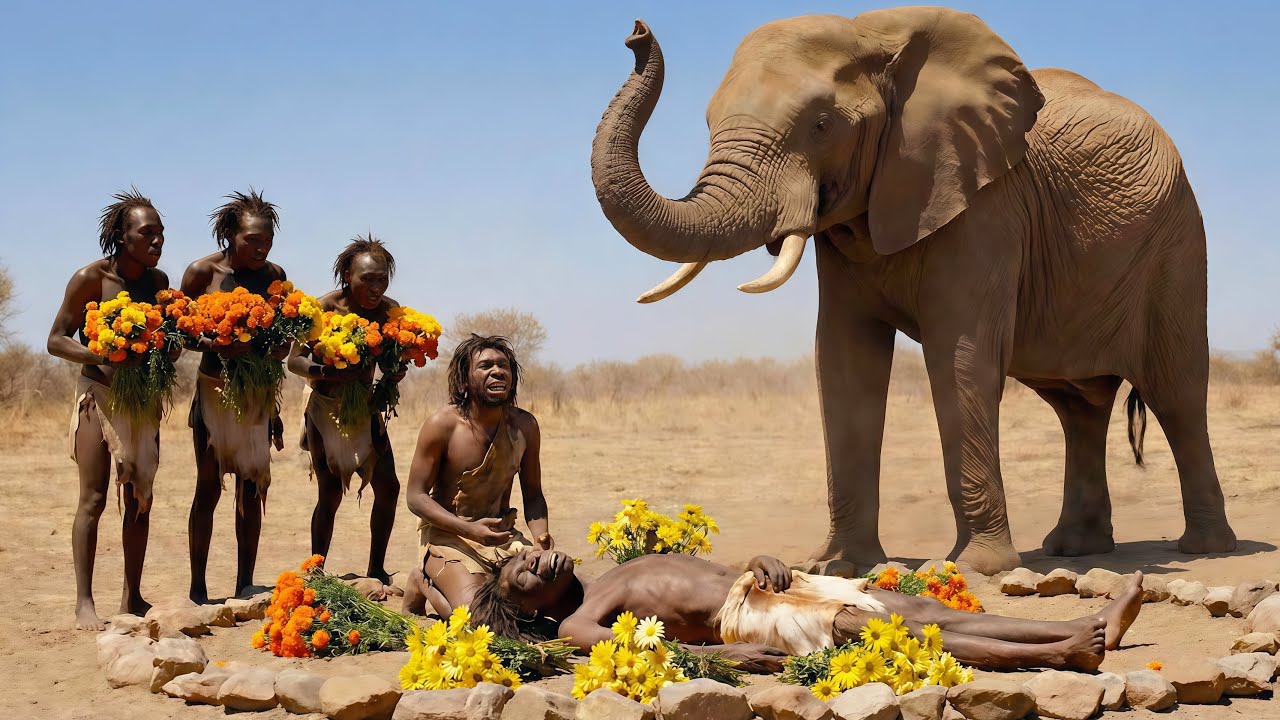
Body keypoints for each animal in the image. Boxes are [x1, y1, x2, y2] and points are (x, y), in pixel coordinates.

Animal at [589, 7, 1238, 574]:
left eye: (821, 125)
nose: (636, 32)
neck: (875, 36)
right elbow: (845, 361)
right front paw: (838, 565)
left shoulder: (984, 204)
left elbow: (960, 355)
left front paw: (973, 569)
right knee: (1077, 407)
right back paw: (1075, 550)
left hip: (1177, 241)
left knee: (1177, 391)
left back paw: (1205, 549)